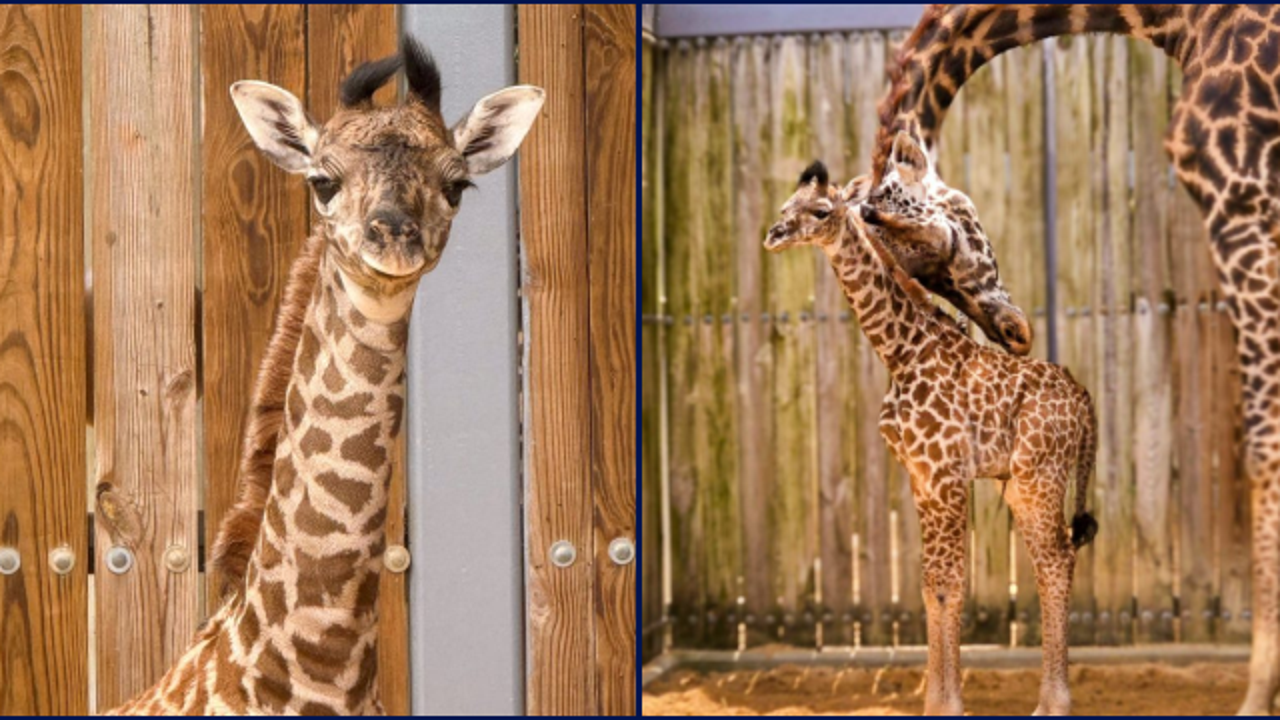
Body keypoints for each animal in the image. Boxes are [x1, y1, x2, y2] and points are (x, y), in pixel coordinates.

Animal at [765, 157, 1097, 716]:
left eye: (821, 210)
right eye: (787, 204)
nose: (774, 234)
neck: (900, 352)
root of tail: (1083, 400)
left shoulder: (947, 475)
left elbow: (950, 584)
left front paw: (950, 704)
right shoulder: (920, 477)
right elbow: (928, 585)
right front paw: (935, 702)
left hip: (1041, 477)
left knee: (1056, 559)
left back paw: (1053, 704)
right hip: (1020, 484)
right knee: (1052, 558)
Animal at [863, 6, 1280, 713]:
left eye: (949, 233)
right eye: (921, 273)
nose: (1015, 333)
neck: (1190, 21)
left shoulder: (1240, 188)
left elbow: (1262, 445)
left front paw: (1258, 696)